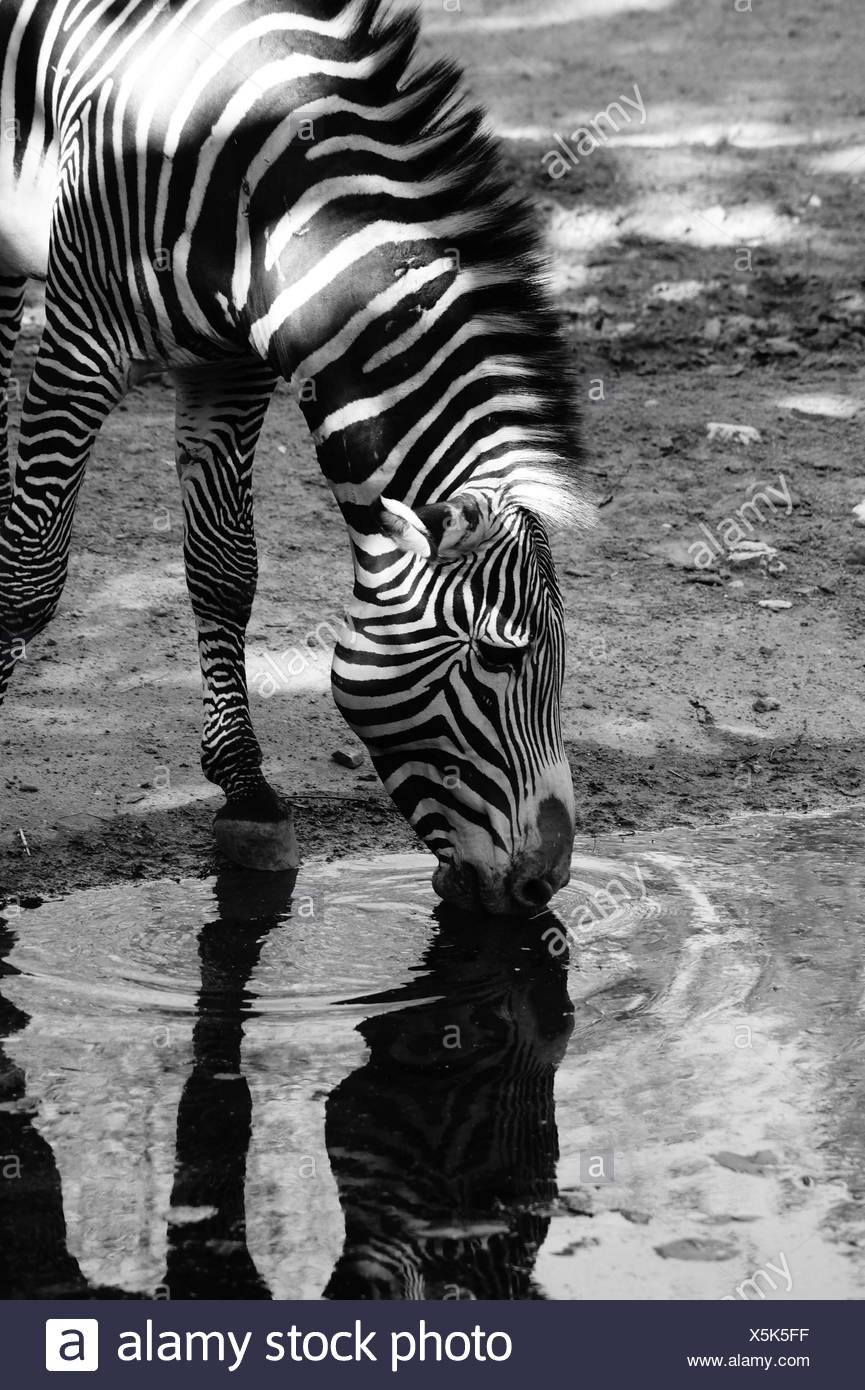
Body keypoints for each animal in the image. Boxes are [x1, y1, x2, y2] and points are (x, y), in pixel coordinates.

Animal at [0, 0, 595, 915]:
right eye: (501, 655)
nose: (546, 885)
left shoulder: (229, 360)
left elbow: (223, 567)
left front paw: (247, 796)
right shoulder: (81, 340)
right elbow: (32, 577)